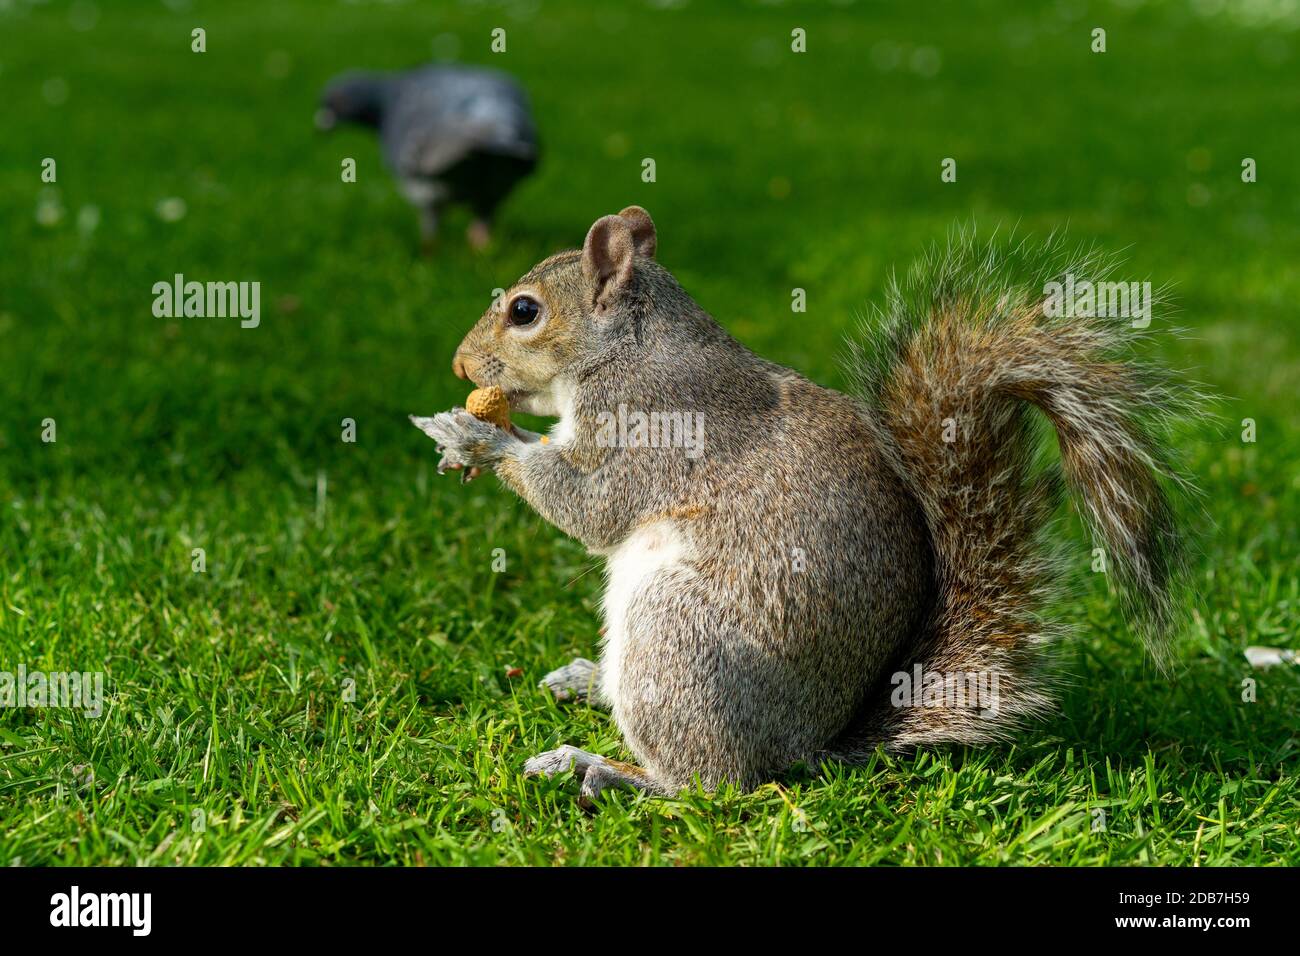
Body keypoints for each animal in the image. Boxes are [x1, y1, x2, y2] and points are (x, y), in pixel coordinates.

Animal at [413, 206, 1194, 800]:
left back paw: (602, 770)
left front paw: (478, 436)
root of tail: (806, 744)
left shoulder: (651, 426)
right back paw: (587, 682)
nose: (457, 365)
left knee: (711, 784)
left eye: (525, 311)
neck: (627, 347)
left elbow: (588, 505)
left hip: (675, 637)